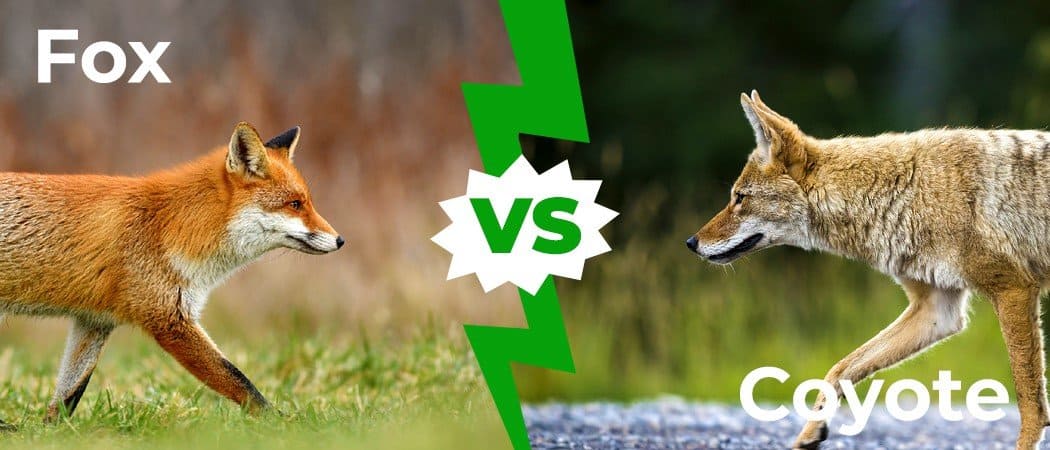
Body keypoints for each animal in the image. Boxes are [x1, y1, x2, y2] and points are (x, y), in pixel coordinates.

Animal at [0, 122, 343, 430]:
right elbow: (239, 380)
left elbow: (68, 395)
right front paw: (285, 426)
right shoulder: (170, 320)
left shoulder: (94, 323)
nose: (340, 240)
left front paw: (48, 431)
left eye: (308, 202)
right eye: (295, 204)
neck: (170, 226)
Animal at [687, 91, 1050, 450]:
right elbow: (840, 368)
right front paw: (811, 432)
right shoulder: (938, 311)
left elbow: (1030, 402)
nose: (691, 242)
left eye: (740, 198)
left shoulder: (1013, 289)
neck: (906, 192)